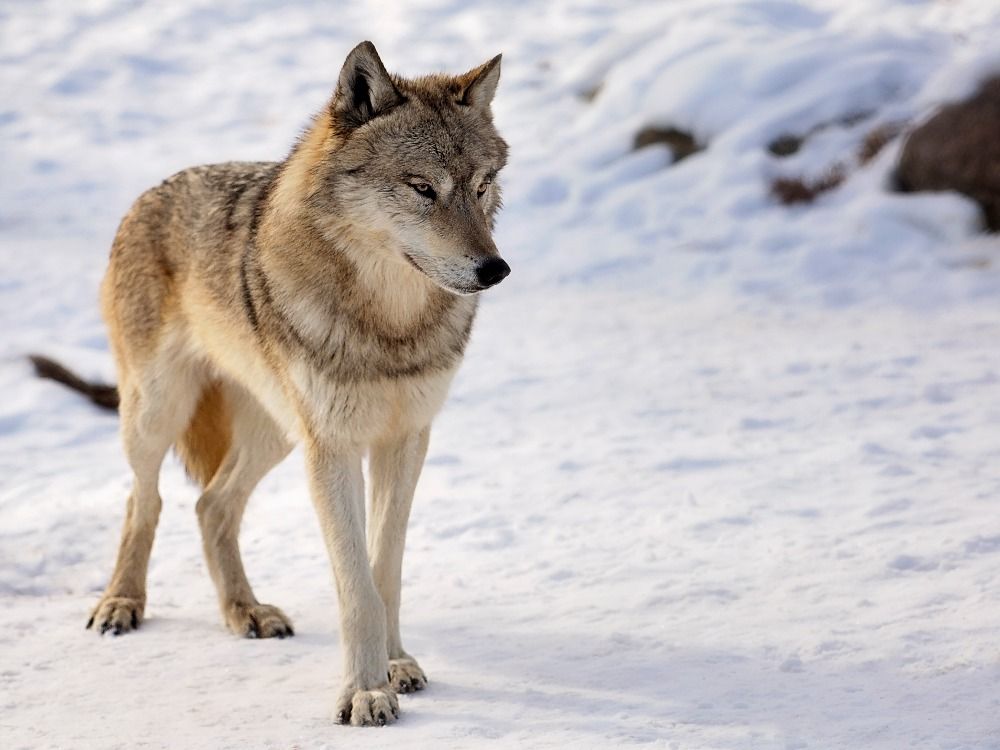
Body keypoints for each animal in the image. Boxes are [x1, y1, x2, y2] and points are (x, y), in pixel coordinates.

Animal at [32, 41, 510, 726]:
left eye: (480, 186)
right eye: (422, 188)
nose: (495, 268)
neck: (389, 327)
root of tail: (150, 192)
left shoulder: (406, 439)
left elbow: (384, 572)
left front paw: (395, 667)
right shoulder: (333, 447)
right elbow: (355, 586)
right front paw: (364, 693)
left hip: (277, 435)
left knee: (211, 505)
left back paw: (246, 613)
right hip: (159, 413)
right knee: (144, 501)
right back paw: (121, 603)